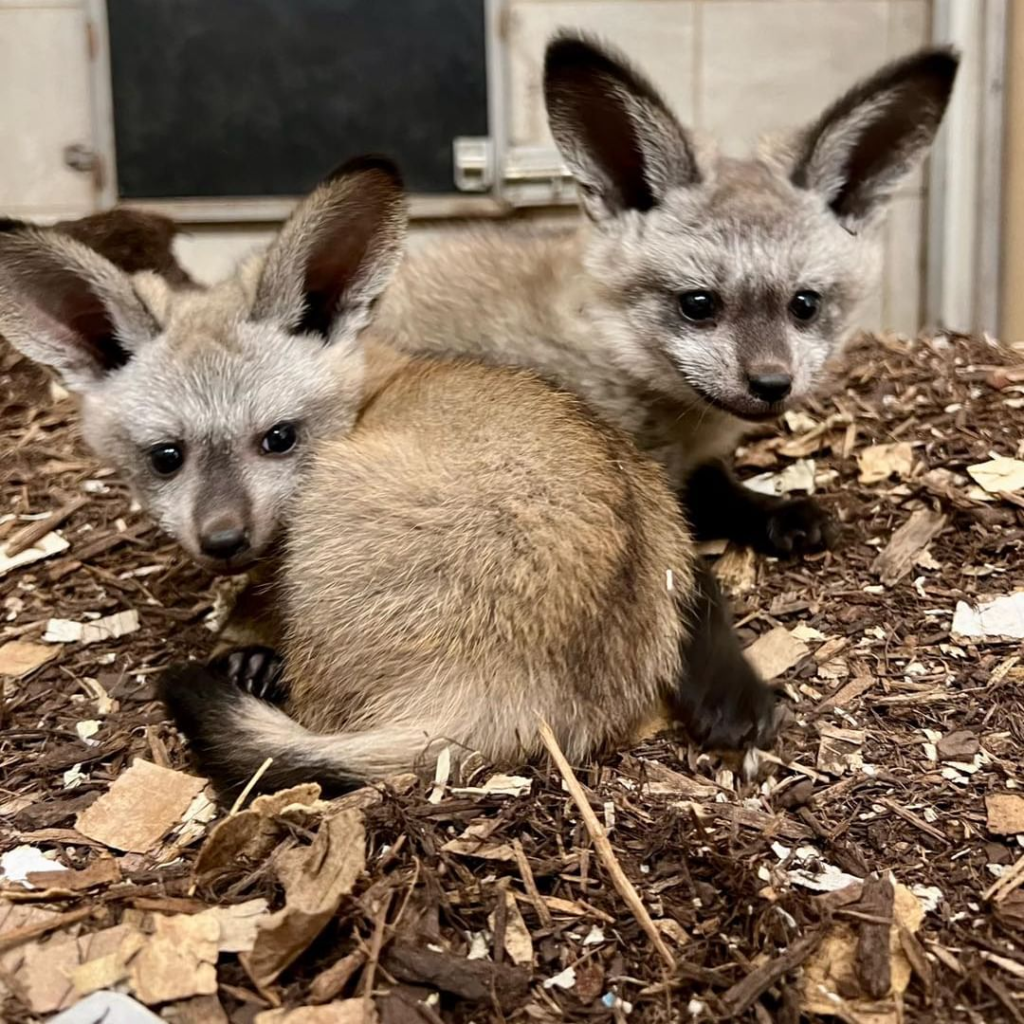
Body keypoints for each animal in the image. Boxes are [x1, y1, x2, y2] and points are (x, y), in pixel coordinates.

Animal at [0, 157, 777, 796]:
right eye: (166, 456)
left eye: (279, 438)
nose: (223, 540)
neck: (374, 388)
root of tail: (516, 699)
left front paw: (244, 643)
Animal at [375, 35, 959, 557]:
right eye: (698, 305)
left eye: (805, 305)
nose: (772, 385)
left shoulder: (692, 468)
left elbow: (722, 490)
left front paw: (777, 514)